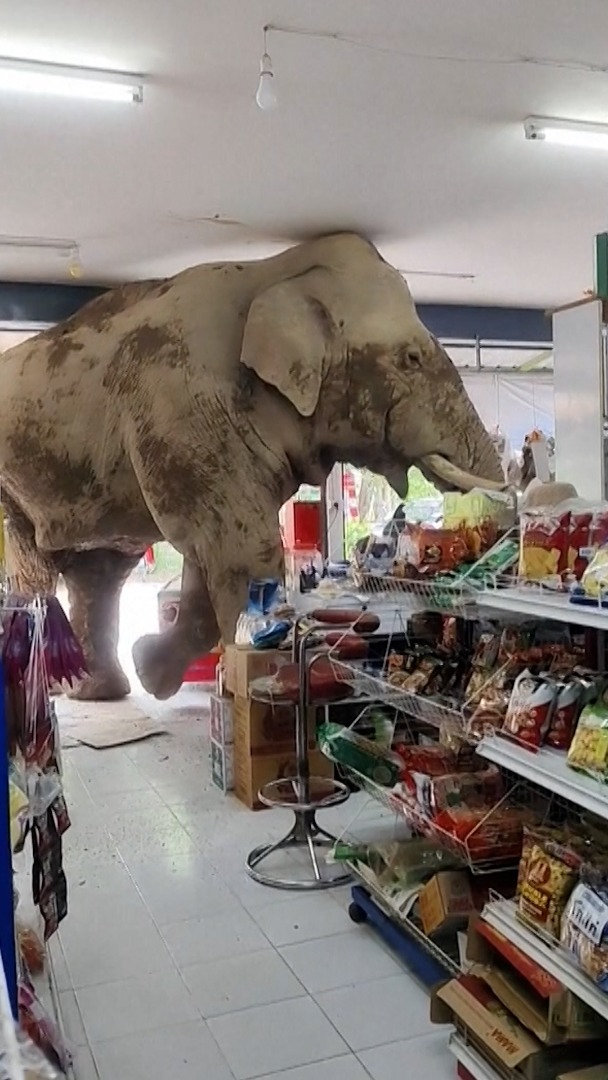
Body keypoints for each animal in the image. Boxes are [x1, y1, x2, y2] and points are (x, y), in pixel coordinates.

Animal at [0, 233, 504, 701]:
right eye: (411, 359)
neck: (273, 270)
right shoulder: (185, 407)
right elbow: (241, 547)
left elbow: (213, 555)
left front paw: (154, 670)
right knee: (40, 570)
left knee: (100, 574)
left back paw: (98, 690)